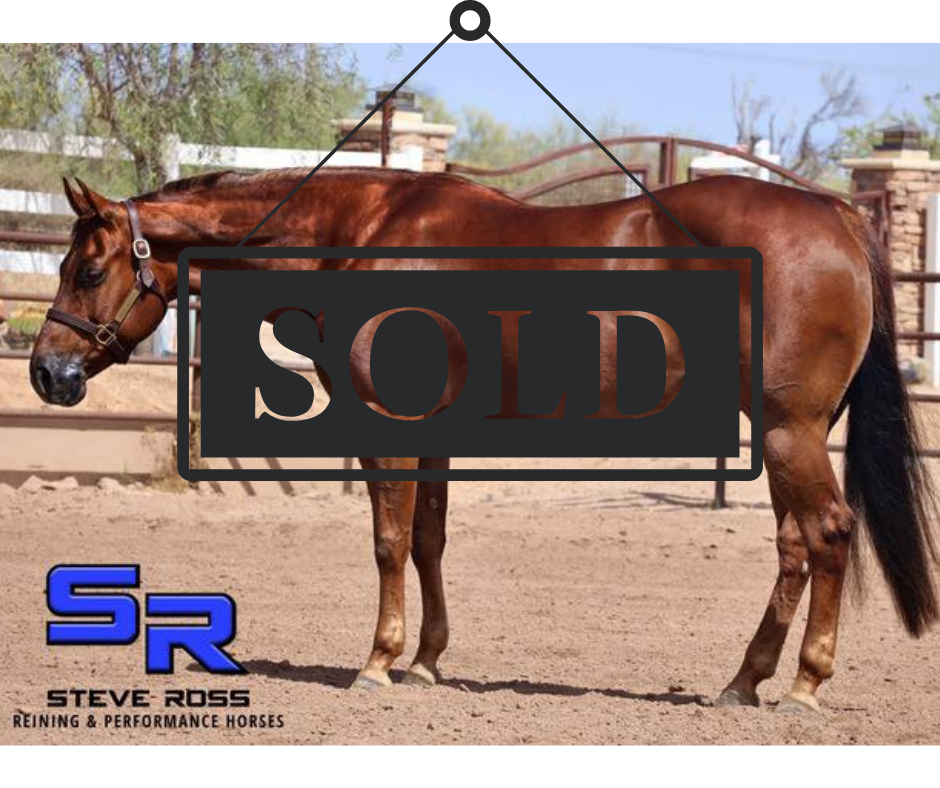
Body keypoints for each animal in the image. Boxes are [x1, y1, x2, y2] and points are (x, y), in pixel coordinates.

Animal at [30, 168, 938, 712]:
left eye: (86, 269)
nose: (46, 373)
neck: (363, 234)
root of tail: (834, 213)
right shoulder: (433, 433)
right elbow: (430, 539)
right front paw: (427, 659)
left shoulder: (388, 428)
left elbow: (390, 542)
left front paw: (378, 662)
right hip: (784, 437)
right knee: (794, 545)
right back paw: (744, 681)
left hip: (790, 430)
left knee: (827, 534)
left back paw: (805, 685)